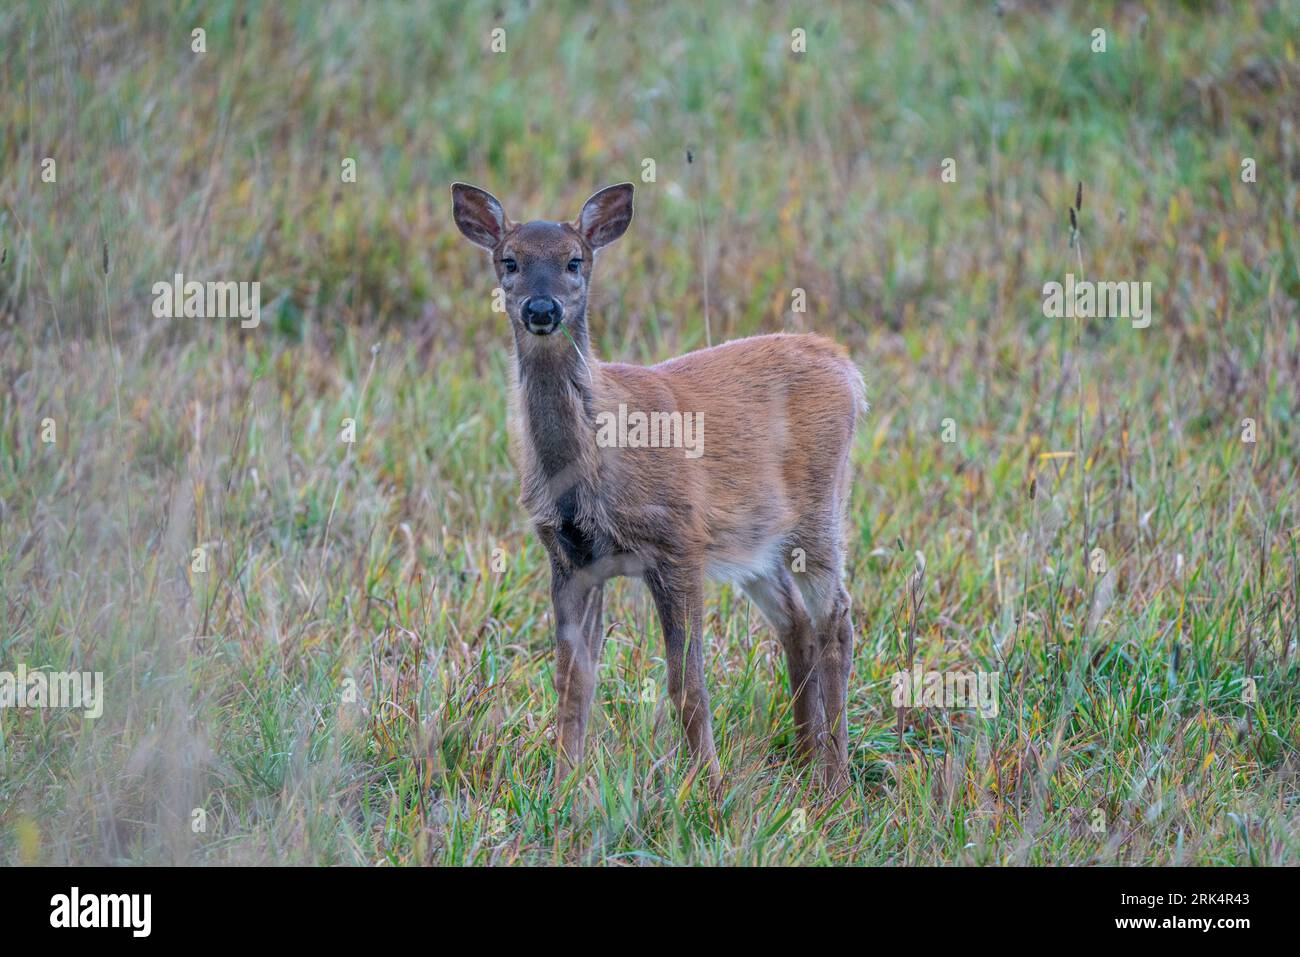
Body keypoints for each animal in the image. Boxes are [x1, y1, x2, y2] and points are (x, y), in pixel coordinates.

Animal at [452, 182, 866, 793]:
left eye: (574, 261)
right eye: (510, 261)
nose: (542, 310)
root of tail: (846, 366)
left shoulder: (677, 540)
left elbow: (686, 684)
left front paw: (707, 787)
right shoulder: (569, 556)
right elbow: (573, 682)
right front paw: (563, 785)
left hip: (819, 511)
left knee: (835, 618)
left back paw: (833, 778)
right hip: (756, 538)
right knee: (796, 621)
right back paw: (804, 755)